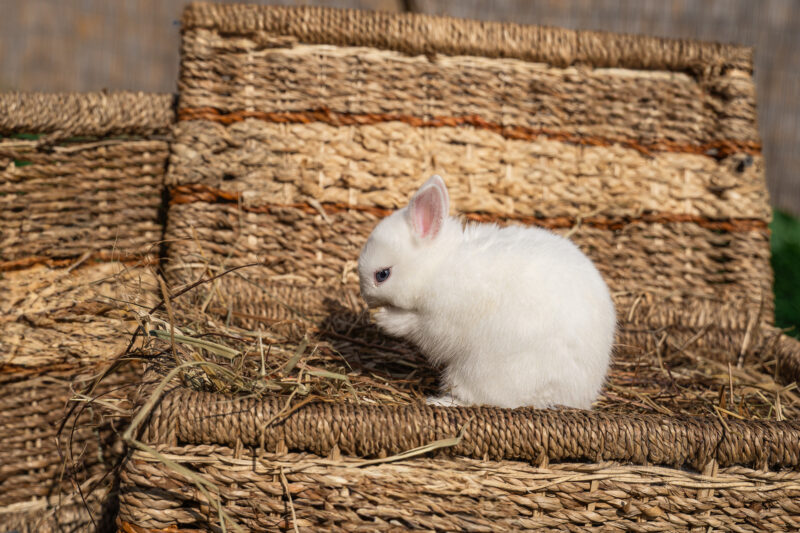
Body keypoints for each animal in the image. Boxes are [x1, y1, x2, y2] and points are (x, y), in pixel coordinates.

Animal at [357, 174, 615, 409]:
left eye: (382, 274)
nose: (366, 298)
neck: (436, 267)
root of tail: (575, 396)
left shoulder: (440, 321)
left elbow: (415, 325)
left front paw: (384, 319)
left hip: (478, 371)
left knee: (481, 399)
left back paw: (439, 401)